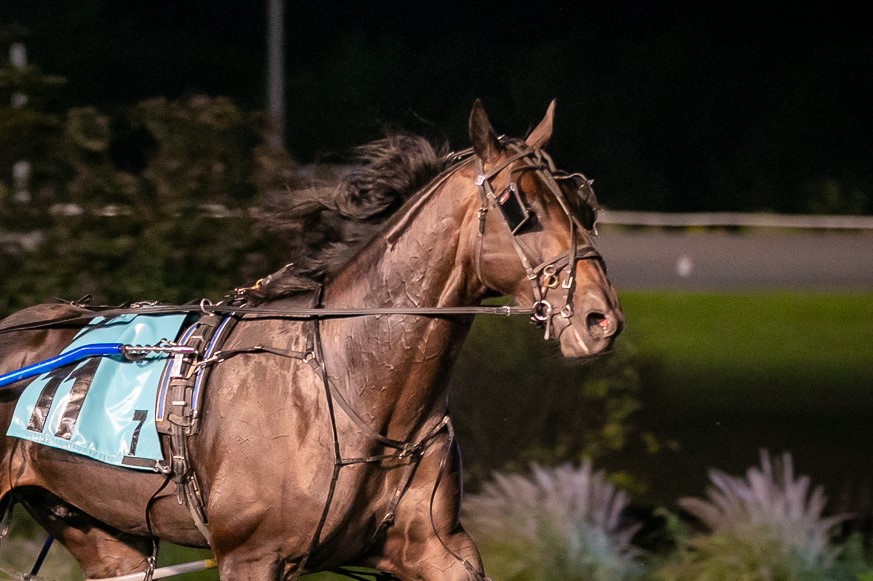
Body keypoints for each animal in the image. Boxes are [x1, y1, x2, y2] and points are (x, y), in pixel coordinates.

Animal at [0, 100, 623, 580]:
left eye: (582, 202)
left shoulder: (437, 548)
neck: (352, 382)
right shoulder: (251, 555)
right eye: (522, 209)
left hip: (97, 531)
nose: (601, 318)